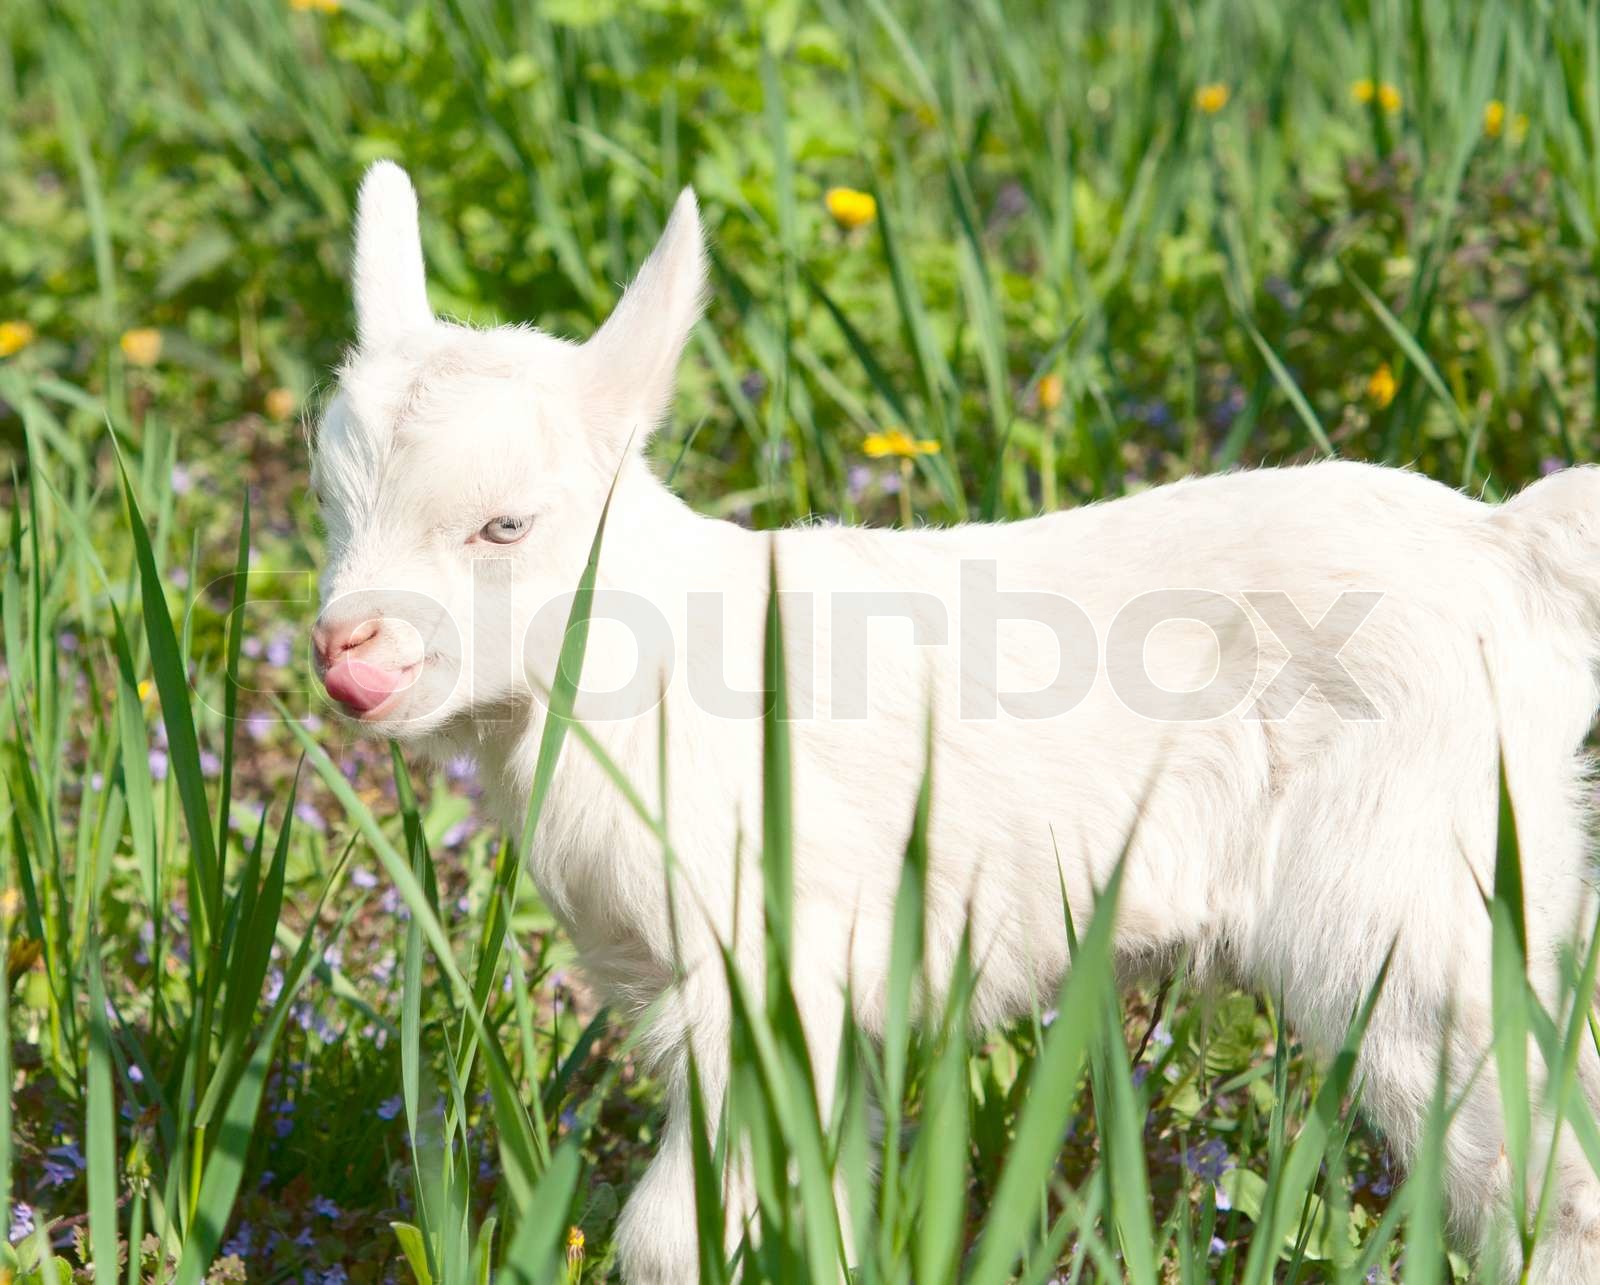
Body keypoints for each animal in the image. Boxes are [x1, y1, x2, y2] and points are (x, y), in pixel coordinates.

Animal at [309, 161, 1600, 1283]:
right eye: (334, 504)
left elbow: (686, 1230)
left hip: (1411, 891)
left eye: (507, 526)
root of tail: (1510, 548)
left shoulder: (765, 958)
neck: (646, 664)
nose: (349, 659)